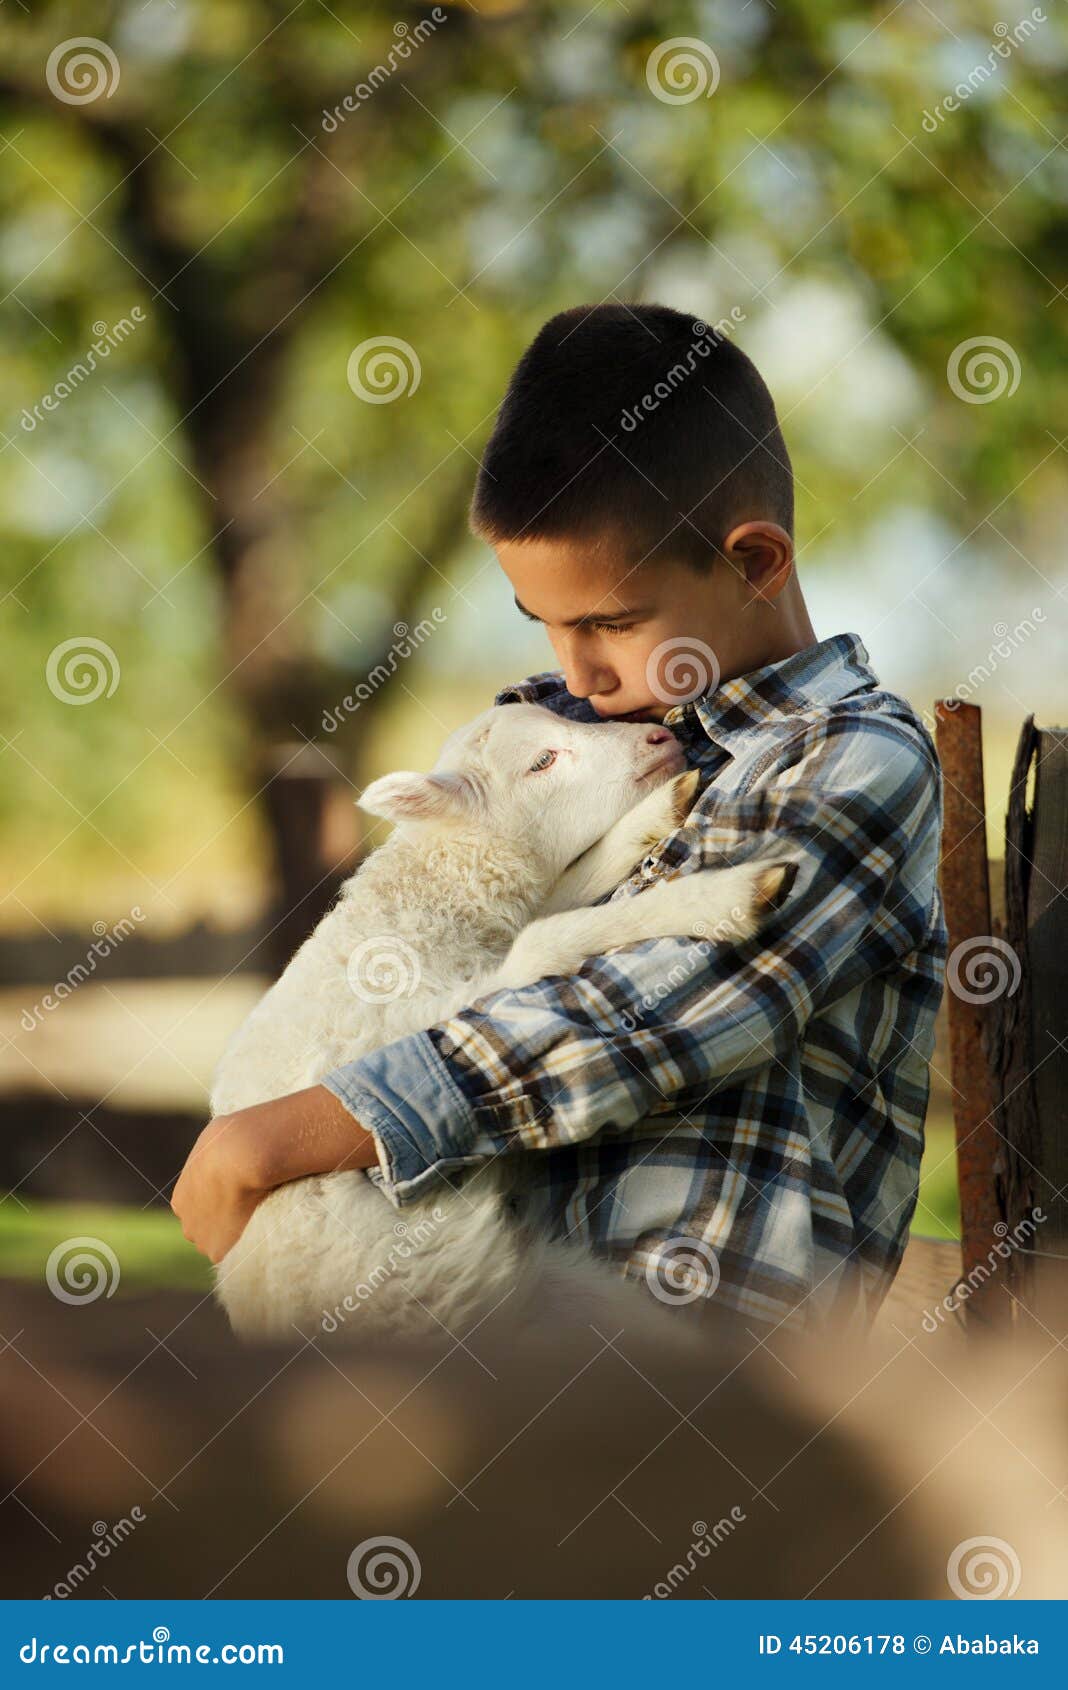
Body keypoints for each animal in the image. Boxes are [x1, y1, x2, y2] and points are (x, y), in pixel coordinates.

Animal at [210, 701, 792, 1346]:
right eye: (542, 762)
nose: (659, 738)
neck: (428, 911)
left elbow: (559, 894)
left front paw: (661, 809)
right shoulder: (403, 1027)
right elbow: (545, 935)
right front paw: (730, 896)